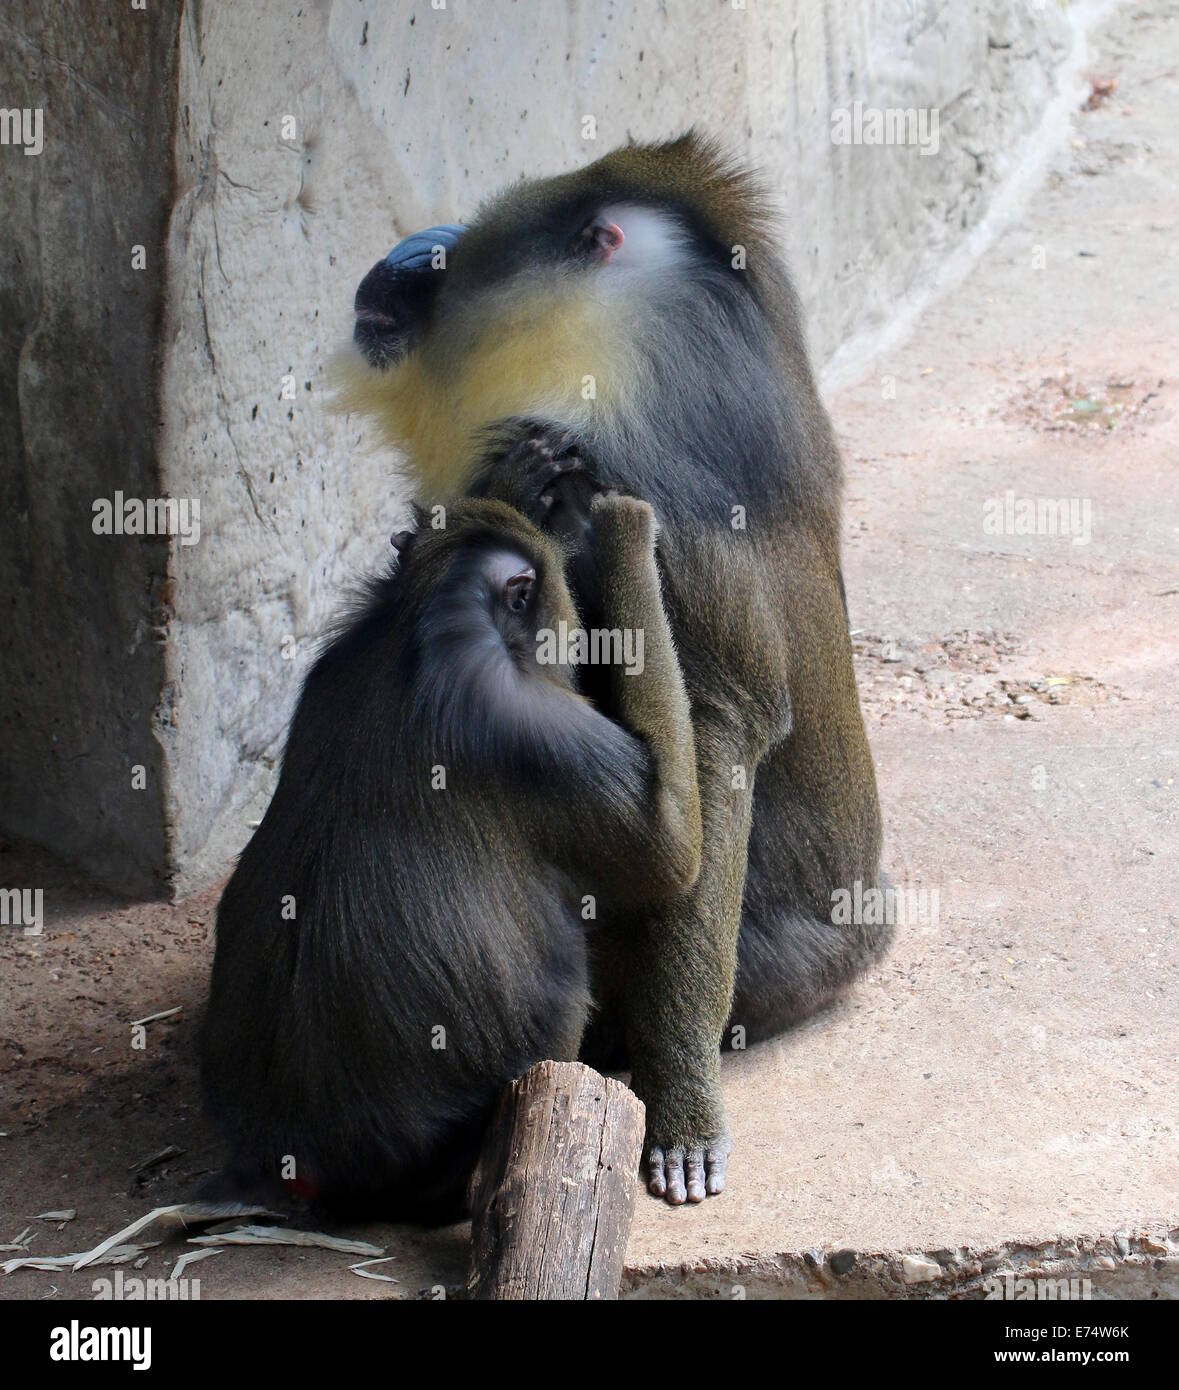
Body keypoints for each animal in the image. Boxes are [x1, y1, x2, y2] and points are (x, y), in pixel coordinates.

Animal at [198, 482, 701, 1218]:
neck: (430, 619)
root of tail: (298, 1160)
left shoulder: (330, 669)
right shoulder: (536, 723)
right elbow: (671, 848)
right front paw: (625, 531)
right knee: (562, 984)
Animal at [336, 131, 889, 1206]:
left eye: (469, 246)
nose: (416, 250)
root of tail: (863, 935)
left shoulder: (621, 495)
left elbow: (703, 768)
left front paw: (682, 1113)